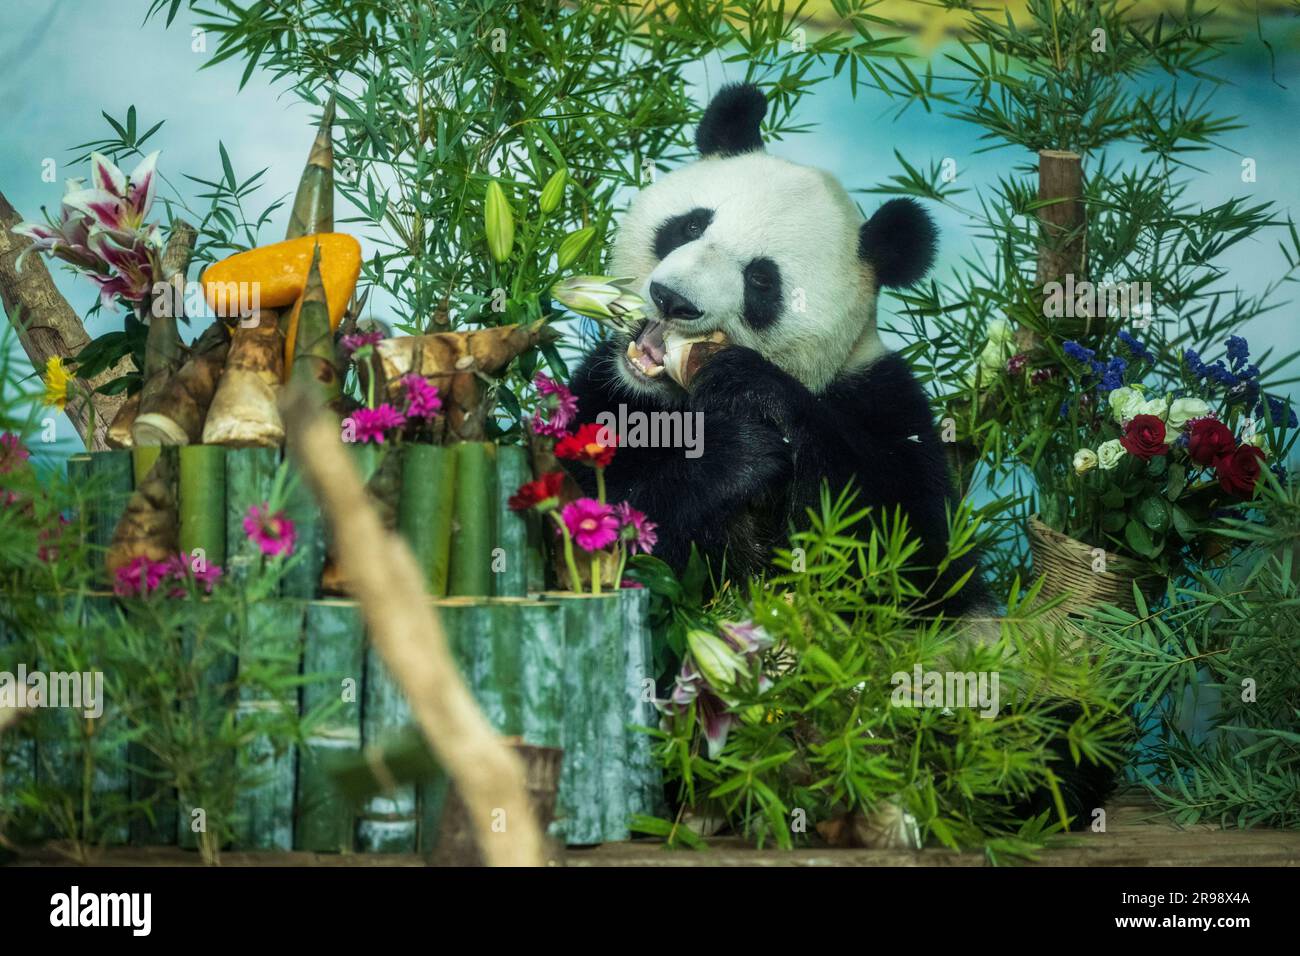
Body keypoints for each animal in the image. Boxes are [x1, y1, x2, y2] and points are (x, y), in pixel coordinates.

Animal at [566, 83, 985, 617]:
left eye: (761, 280)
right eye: (690, 226)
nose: (672, 299)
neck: (671, 403)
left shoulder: (883, 399)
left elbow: (916, 560)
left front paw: (750, 392)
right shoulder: (604, 394)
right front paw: (733, 458)